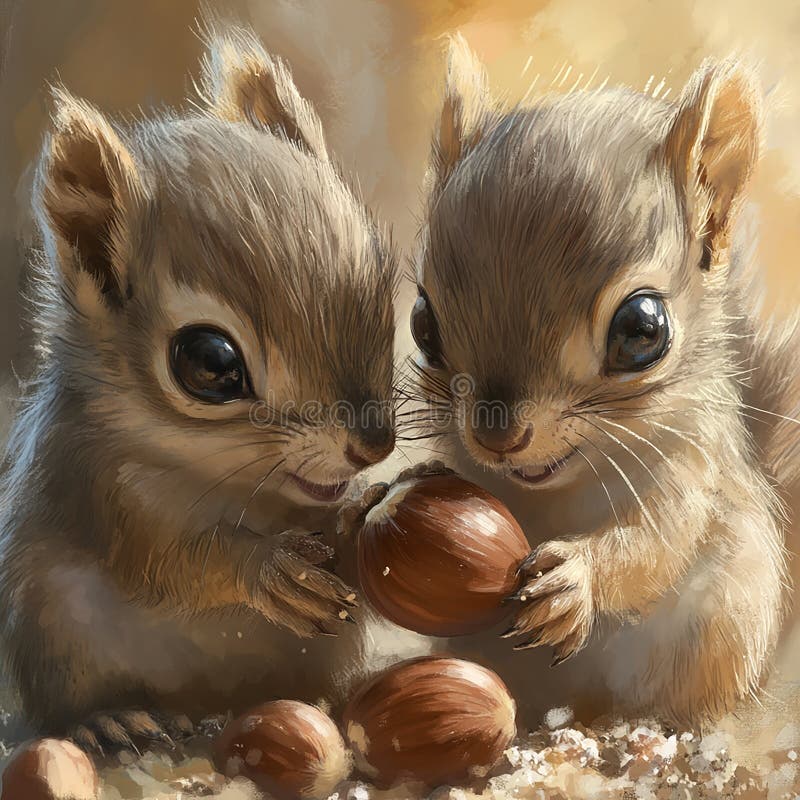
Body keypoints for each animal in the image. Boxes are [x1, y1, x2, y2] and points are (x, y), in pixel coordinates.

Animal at [0, 28, 398, 751]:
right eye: (211, 364)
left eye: (383, 285)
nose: (372, 445)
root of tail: (210, 704)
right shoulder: (97, 486)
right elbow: (169, 562)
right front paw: (265, 569)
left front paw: (356, 515)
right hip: (55, 638)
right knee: (64, 710)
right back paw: (111, 719)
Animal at [404, 36, 794, 728]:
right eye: (423, 323)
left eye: (642, 330)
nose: (497, 438)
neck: (558, 489)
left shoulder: (689, 471)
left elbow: (657, 543)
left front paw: (574, 581)